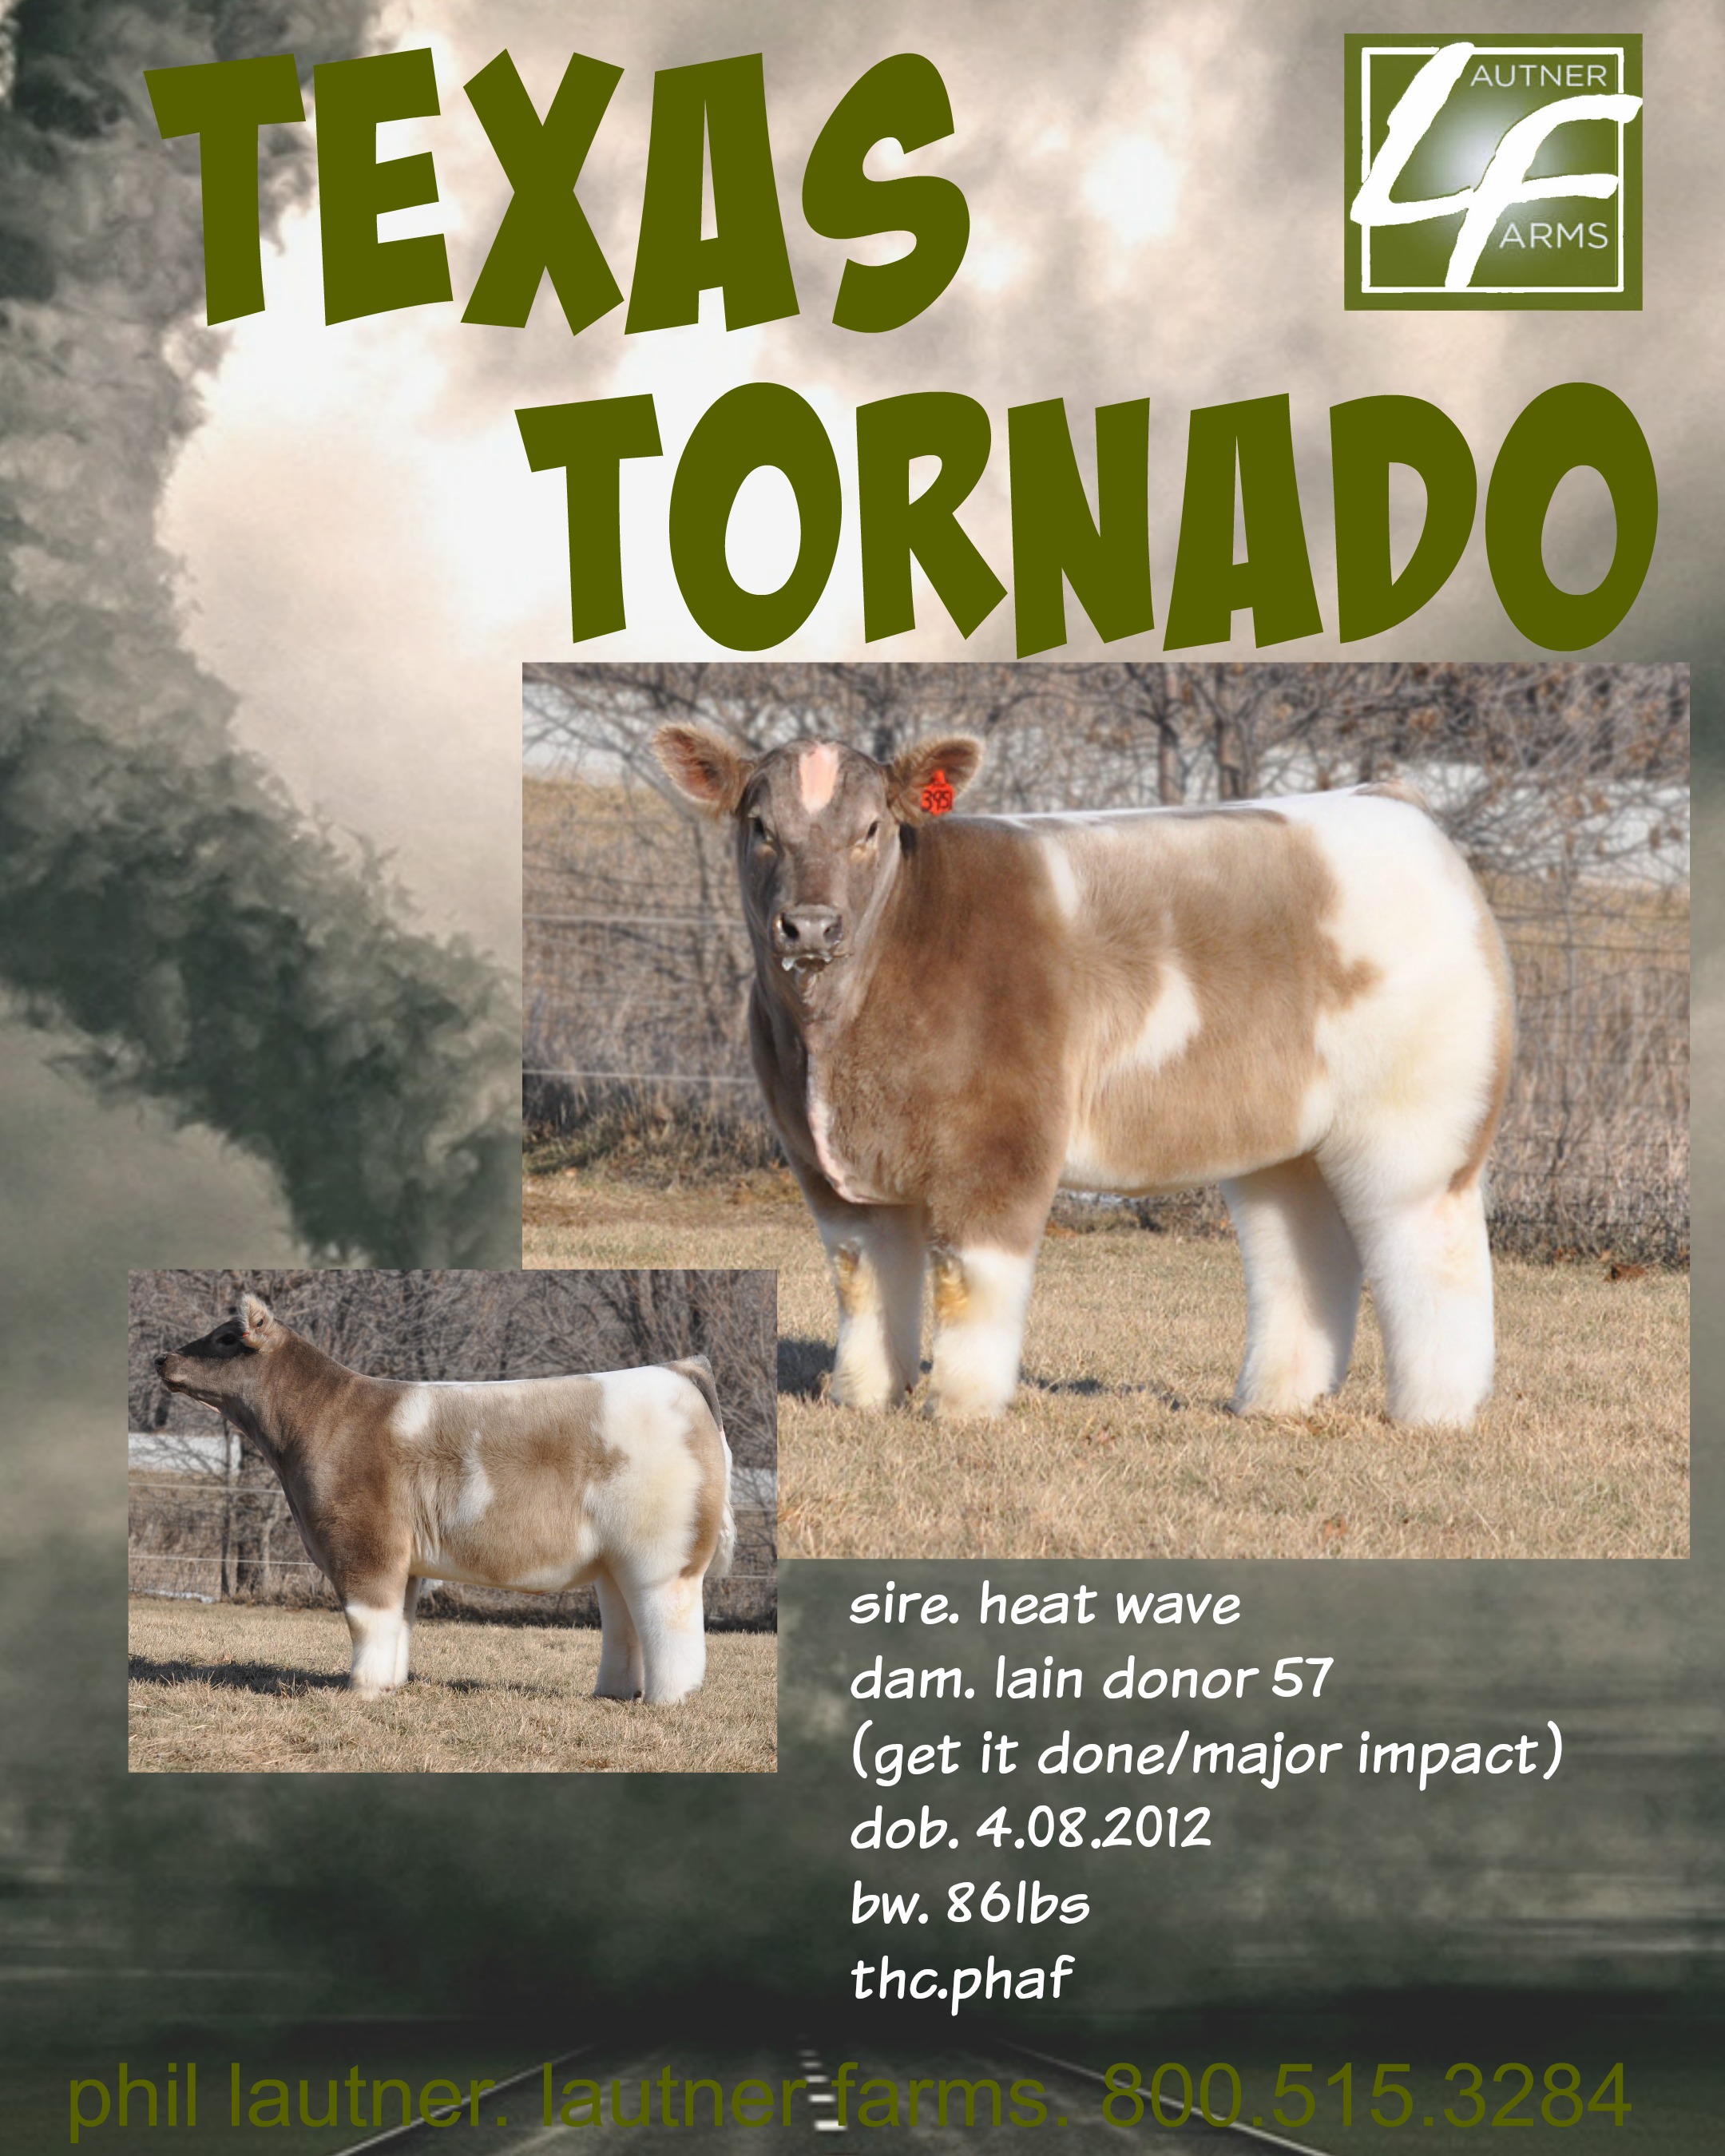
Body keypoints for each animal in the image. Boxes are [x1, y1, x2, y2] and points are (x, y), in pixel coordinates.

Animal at [153, 1294, 734, 1703]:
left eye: (227, 1338)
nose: (161, 1357)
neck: (323, 1419)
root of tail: (677, 1370)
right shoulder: (404, 1560)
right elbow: (400, 1621)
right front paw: (389, 1684)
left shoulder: (364, 1543)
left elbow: (367, 1617)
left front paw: (361, 1689)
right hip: (615, 1559)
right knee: (624, 1621)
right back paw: (614, 1693)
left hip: (660, 1553)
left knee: (668, 1620)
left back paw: (669, 1699)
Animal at [653, 724, 1514, 1428]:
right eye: (760, 827)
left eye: (871, 829)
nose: (810, 926)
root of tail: (1393, 801)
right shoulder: (825, 1166)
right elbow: (864, 1284)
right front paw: (863, 1399)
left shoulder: (1000, 1142)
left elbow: (971, 1281)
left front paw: (961, 1408)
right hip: (1286, 1139)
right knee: (1302, 1252)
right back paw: (1275, 1401)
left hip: (1418, 1123)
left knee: (1428, 1252)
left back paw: (1435, 1412)